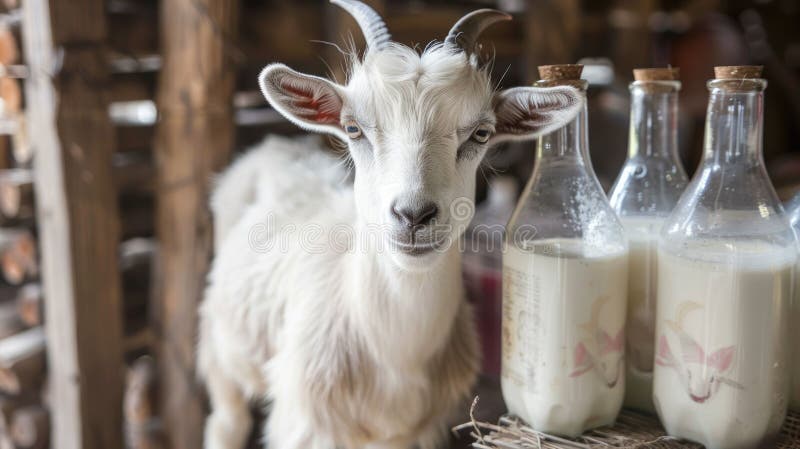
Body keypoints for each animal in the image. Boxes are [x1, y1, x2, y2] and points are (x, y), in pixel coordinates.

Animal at [197, 2, 583, 449]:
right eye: (353, 128)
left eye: (481, 133)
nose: (413, 215)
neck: (396, 356)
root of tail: (278, 146)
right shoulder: (304, 425)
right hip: (221, 349)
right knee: (226, 419)